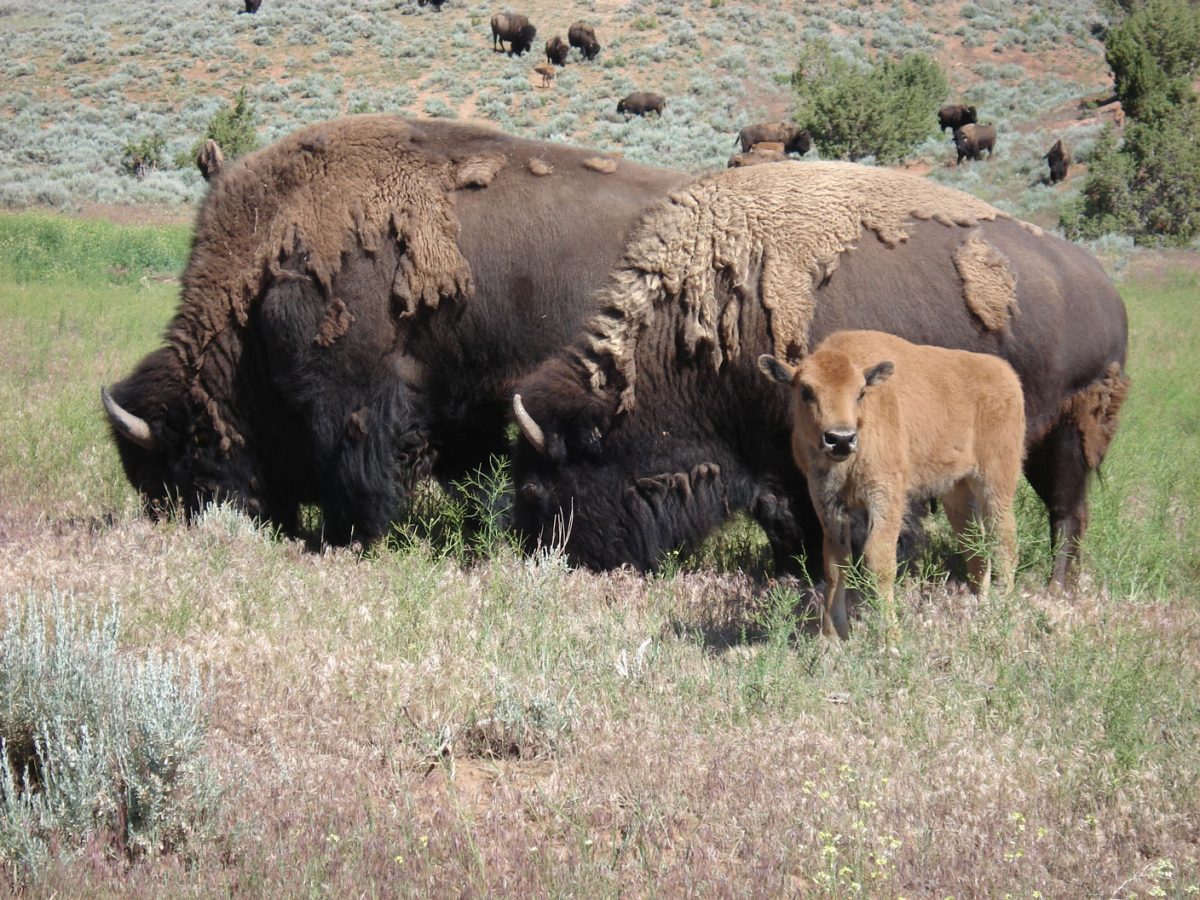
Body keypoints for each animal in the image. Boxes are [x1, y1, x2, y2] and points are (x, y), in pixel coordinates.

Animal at [102, 115, 688, 546]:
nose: (177, 528)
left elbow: (358, 467)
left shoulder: (357, 399)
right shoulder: (462, 398)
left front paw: (350, 538)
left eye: (179, 468)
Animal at [510, 163, 1128, 589]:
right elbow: (785, 520)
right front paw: (793, 572)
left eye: (536, 487)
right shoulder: (768, 466)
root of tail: (1104, 287)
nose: (534, 557)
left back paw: (1055, 588)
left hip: (1069, 430)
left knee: (1067, 511)